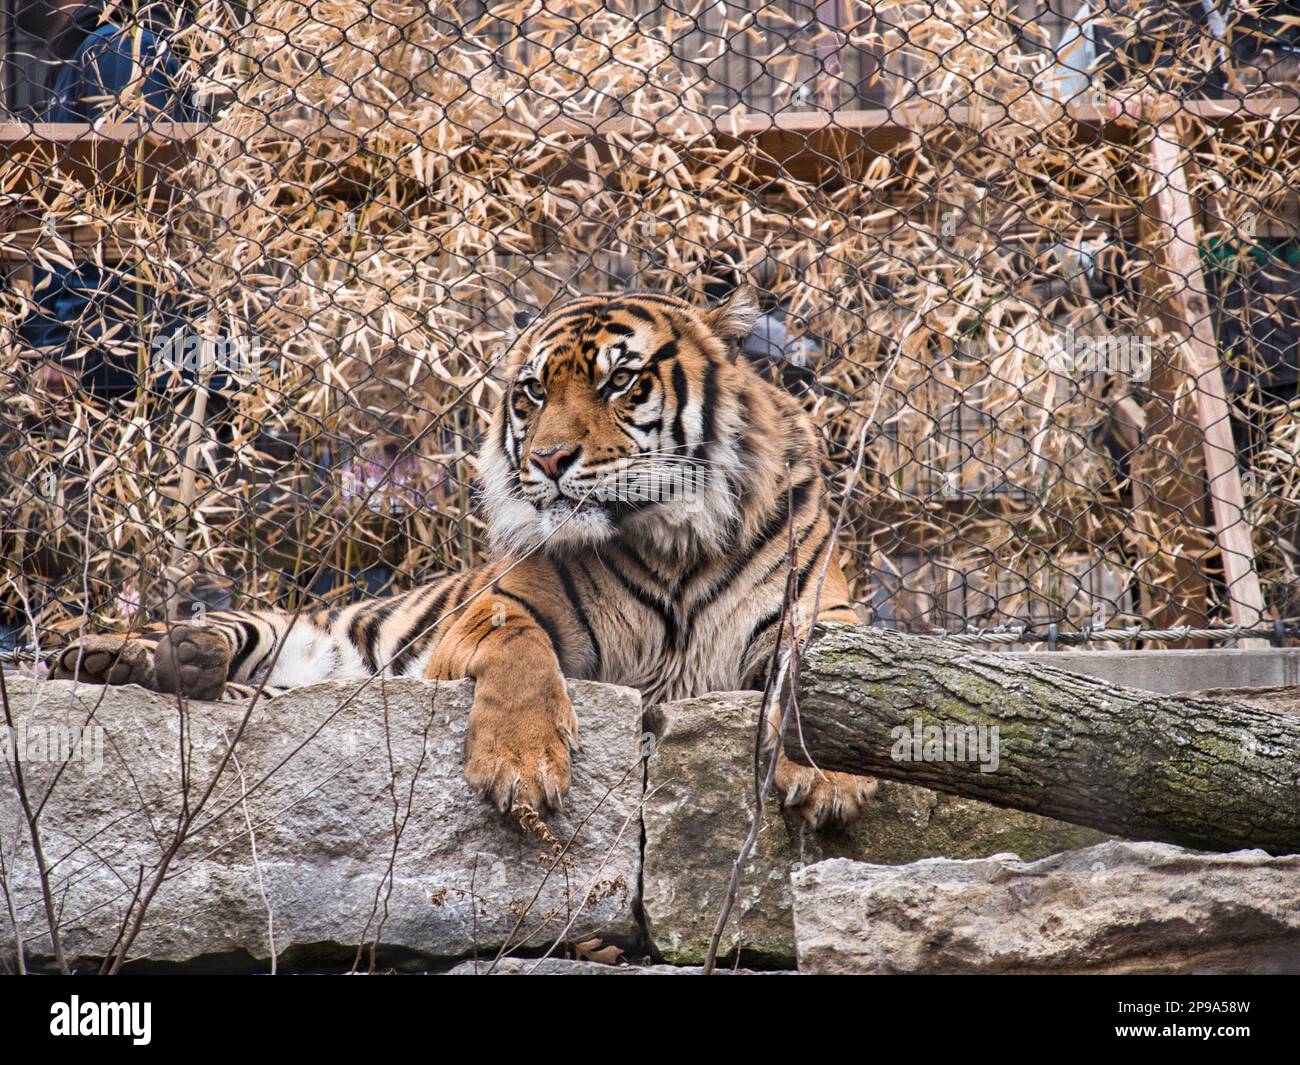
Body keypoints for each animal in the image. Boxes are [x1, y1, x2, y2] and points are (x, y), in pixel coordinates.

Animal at [49, 286, 877, 826]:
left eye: (619, 380)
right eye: (533, 391)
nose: (548, 460)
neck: (671, 539)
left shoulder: (819, 614)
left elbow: (824, 684)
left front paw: (830, 776)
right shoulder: (501, 605)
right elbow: (522, 654)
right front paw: (520, 763)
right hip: (281, 625)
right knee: (197, 635)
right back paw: (127, 657)